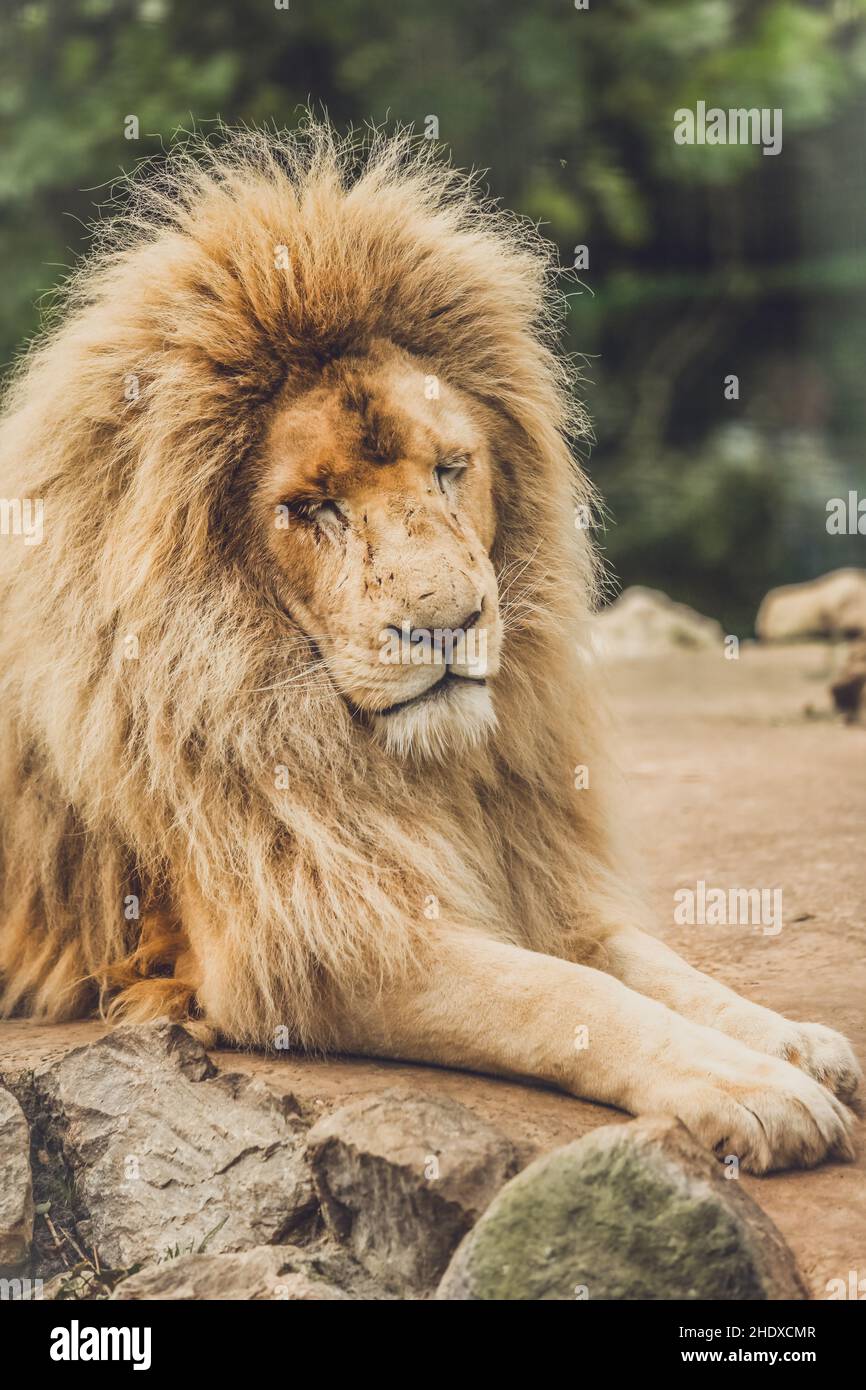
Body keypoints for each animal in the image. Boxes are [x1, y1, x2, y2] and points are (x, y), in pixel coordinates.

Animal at [0, 123, 859, 1174]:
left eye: (451, 469)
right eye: (312, 508)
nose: (451, 621)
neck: (408, 766)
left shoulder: (524, 863)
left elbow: (649, 961)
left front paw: (791, 1042)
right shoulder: (300, 946)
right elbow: (561, 993)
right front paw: (751, 1088)